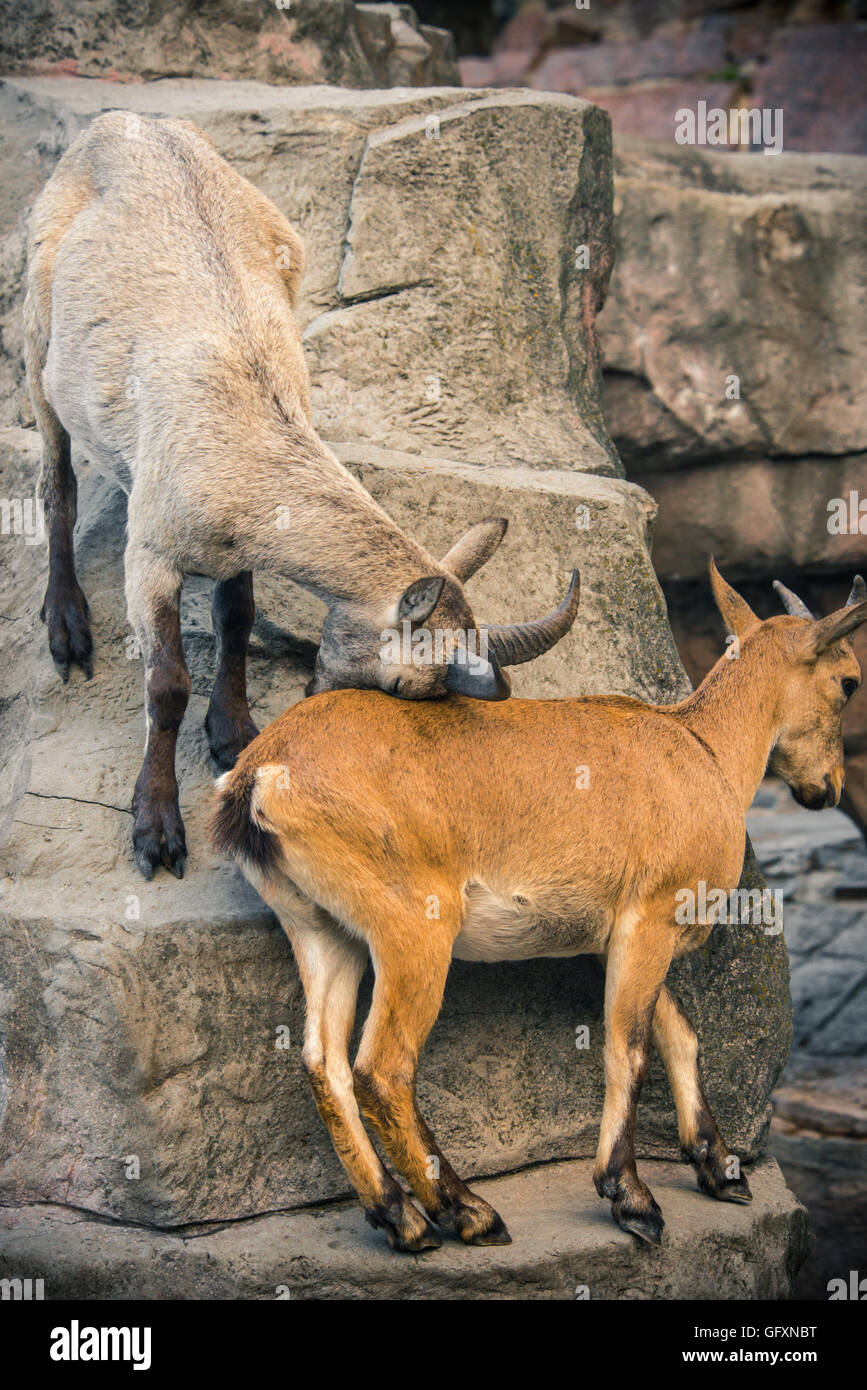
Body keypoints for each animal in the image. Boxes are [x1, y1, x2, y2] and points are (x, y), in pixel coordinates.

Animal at [24, 112, 578, 880]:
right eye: (406, 685)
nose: (322, 705)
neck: (251, 432)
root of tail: (127, 122)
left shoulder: (236, 548)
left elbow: (237, 617)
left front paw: (234, 734)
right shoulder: (154, 550)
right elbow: (166, 683)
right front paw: (157, 830)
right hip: (35, 325)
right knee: (56, 476)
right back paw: (68, 629)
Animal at [212, 563, 866, 1250]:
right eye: (849, 681)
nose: (827, 788)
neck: (703, 750)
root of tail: (258, 774)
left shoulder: (622, 935)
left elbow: (680, 1036)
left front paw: (718, 1170)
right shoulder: (650, 918)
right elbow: (629, 1051)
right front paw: (632, 1199)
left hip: (318, 926)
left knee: (324, 1063)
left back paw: (400, 1219)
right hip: (413, 925)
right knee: (381, 1069)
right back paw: (466, 1211)